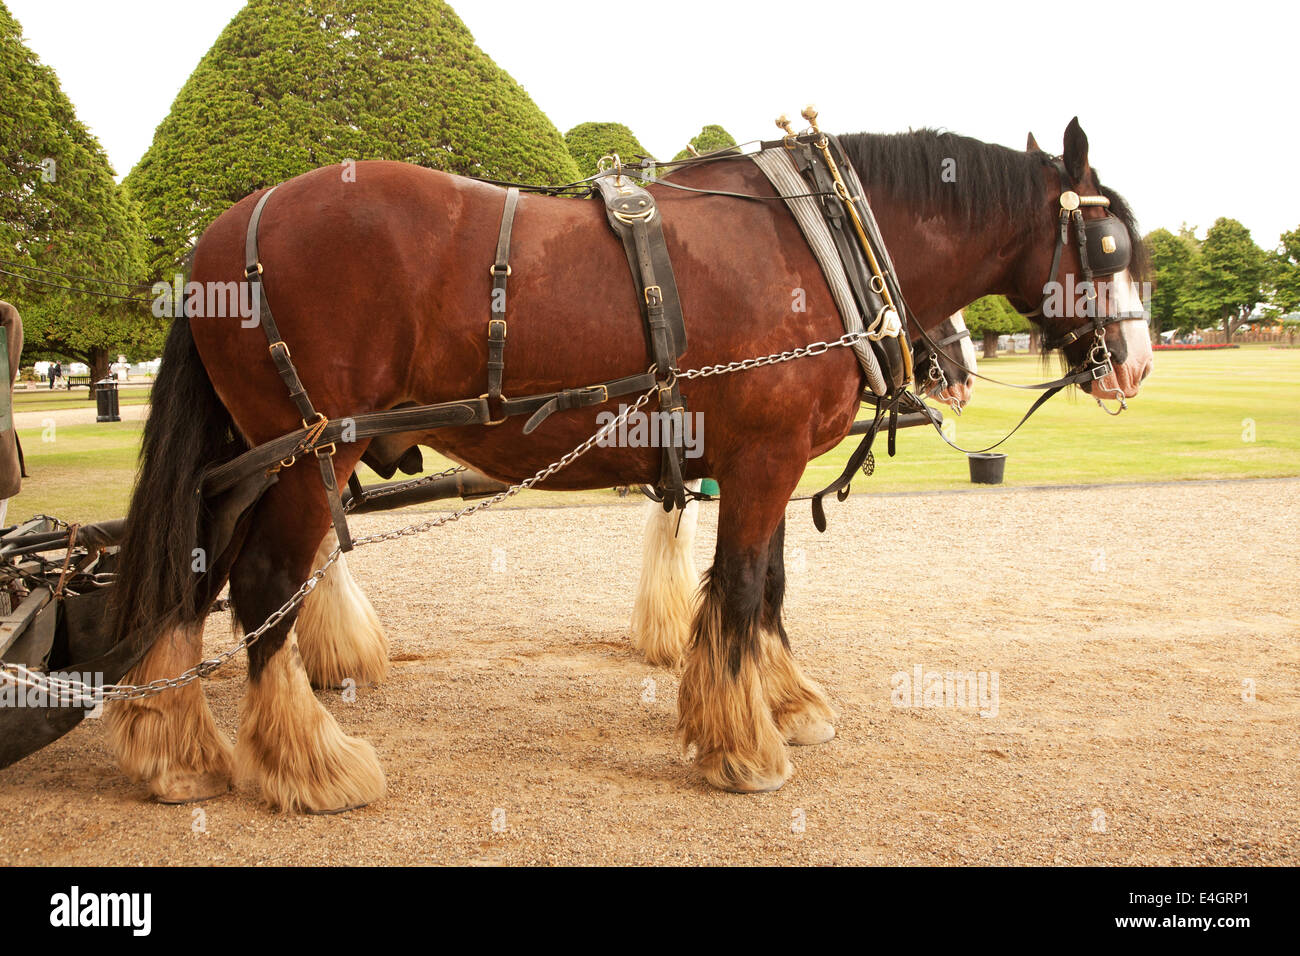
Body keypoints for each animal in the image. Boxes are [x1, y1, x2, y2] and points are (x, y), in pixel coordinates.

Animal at [104, 118, 1151, 810]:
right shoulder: (762, 459)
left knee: (189, 572)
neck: (817, 238)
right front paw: (742, 747)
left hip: (252, 454)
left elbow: (767, 585)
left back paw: (173, 751)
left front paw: (782, 702)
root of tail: (227, 224)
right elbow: (739, 587)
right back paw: (309, 766)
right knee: (261, 580)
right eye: (1106, 246)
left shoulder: (758, 461)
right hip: (311, 448)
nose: (1134, 363)